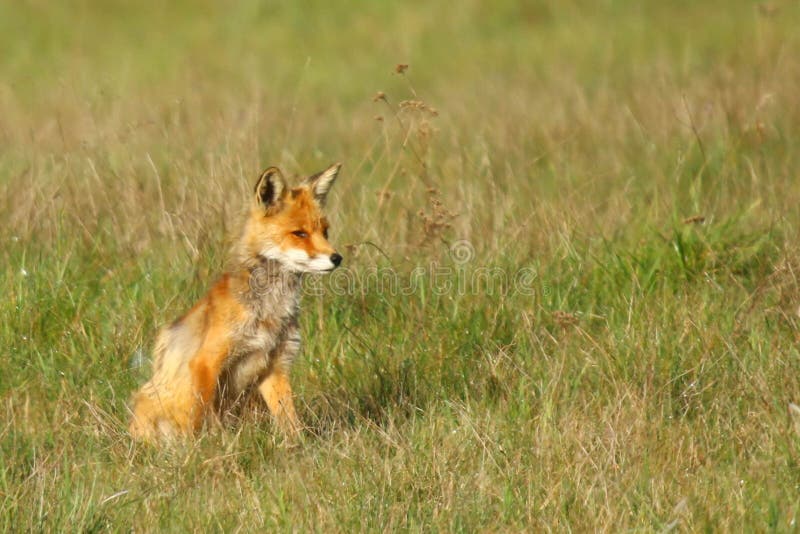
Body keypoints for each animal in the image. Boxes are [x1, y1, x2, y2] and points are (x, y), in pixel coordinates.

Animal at [129, 163, 343, 441]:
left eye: (325, 232)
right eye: (300, 233)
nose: (337, 258)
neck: (269, 311)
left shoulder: (275, 365)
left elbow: (290, 420)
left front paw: (299, 446)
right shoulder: (206, 362)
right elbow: (198, 418)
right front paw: (199, 448)